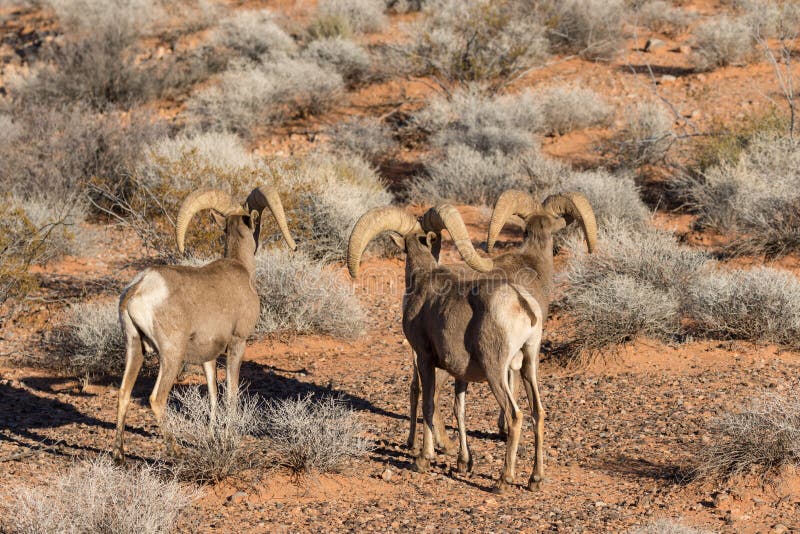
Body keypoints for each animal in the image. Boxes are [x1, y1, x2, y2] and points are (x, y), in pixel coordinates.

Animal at [112, 187, 296, 464]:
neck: (241, 270)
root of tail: (138, 288)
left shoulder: (208, 357)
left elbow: (213, 396)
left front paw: (212, 439)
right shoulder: (237, 343)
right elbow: (231, 394)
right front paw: (229, 439)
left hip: (135, 349)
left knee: (124, 393)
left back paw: (119, 456)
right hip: (171, 355)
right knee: (157, 399)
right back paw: (177, 452)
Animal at [347, 205, 547, 492]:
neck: (423, 281)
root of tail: (522, 303)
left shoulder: (425, 358)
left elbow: (429, 404)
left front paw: (423, 459)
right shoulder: (460, 373)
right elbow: (459, 410)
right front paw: (465, 462)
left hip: (496, 371)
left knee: (514, 415)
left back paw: (503, 480)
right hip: (529, 365)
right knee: (537, 413)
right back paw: (535, 480)